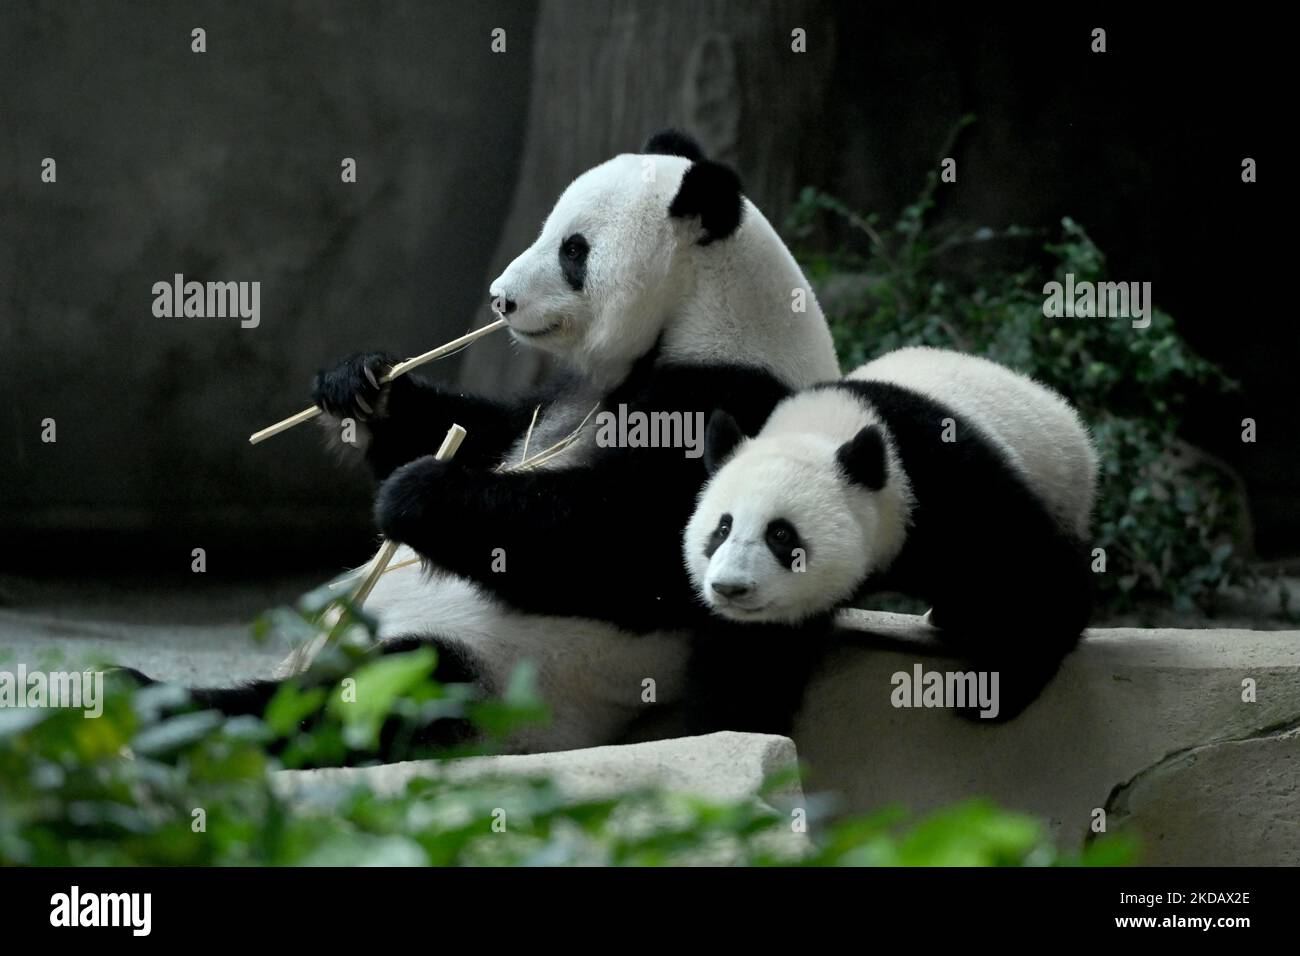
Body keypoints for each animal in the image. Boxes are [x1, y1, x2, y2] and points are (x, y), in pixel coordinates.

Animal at [175, 130, 841, 756]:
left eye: (574, 250)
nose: (502, 298)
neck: (709, 310)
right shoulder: (571, 392)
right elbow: (489, 430)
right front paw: (361, 384)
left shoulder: (727, 396)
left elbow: (628, 542)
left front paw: (421, 493)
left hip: (498, 676)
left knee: (360, 698)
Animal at [683, 346, 1098, 728]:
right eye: (722, 528)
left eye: (781, 534)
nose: (730, 588)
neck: (826, 428)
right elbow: (753, 652)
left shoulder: (945, 480)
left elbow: (1027, 573)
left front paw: (987, 693)